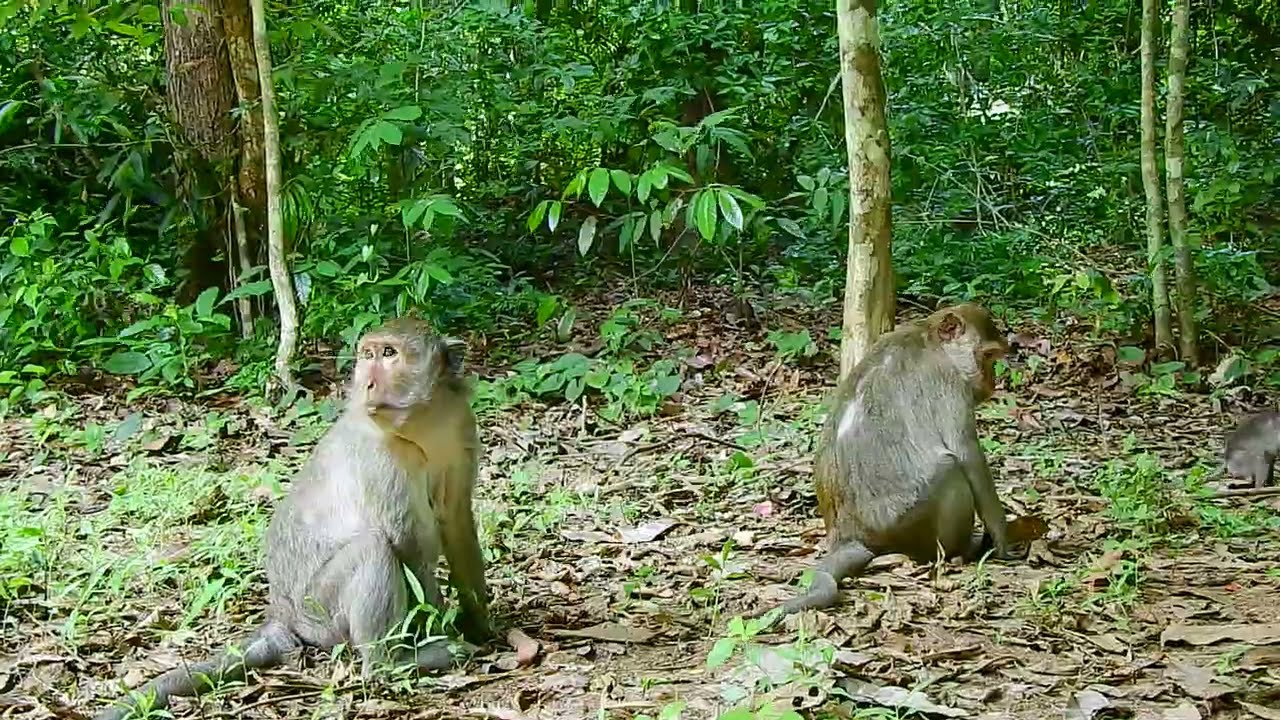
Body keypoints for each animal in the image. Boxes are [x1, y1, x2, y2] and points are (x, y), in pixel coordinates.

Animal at [94, 318, 492, 720]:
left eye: (389, 353)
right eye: (368, 355)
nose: (367, 383)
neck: (421, 422)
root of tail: (282, 613)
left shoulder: (460, 423)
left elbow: (456, 517)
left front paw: (481, 624)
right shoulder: (378, 452)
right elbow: (408, 545)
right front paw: (443, 632)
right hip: (319, 611)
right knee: (372, 548)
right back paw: (390, 662)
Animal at [775, 303, 1016, 615]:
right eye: (986, 357)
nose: (992, 383)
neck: (928, 336)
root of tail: (847, 535)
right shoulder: (950, 384)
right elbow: (967, 454)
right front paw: (1001, 538)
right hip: (903, 523)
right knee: (949, 469)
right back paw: (961, 550)